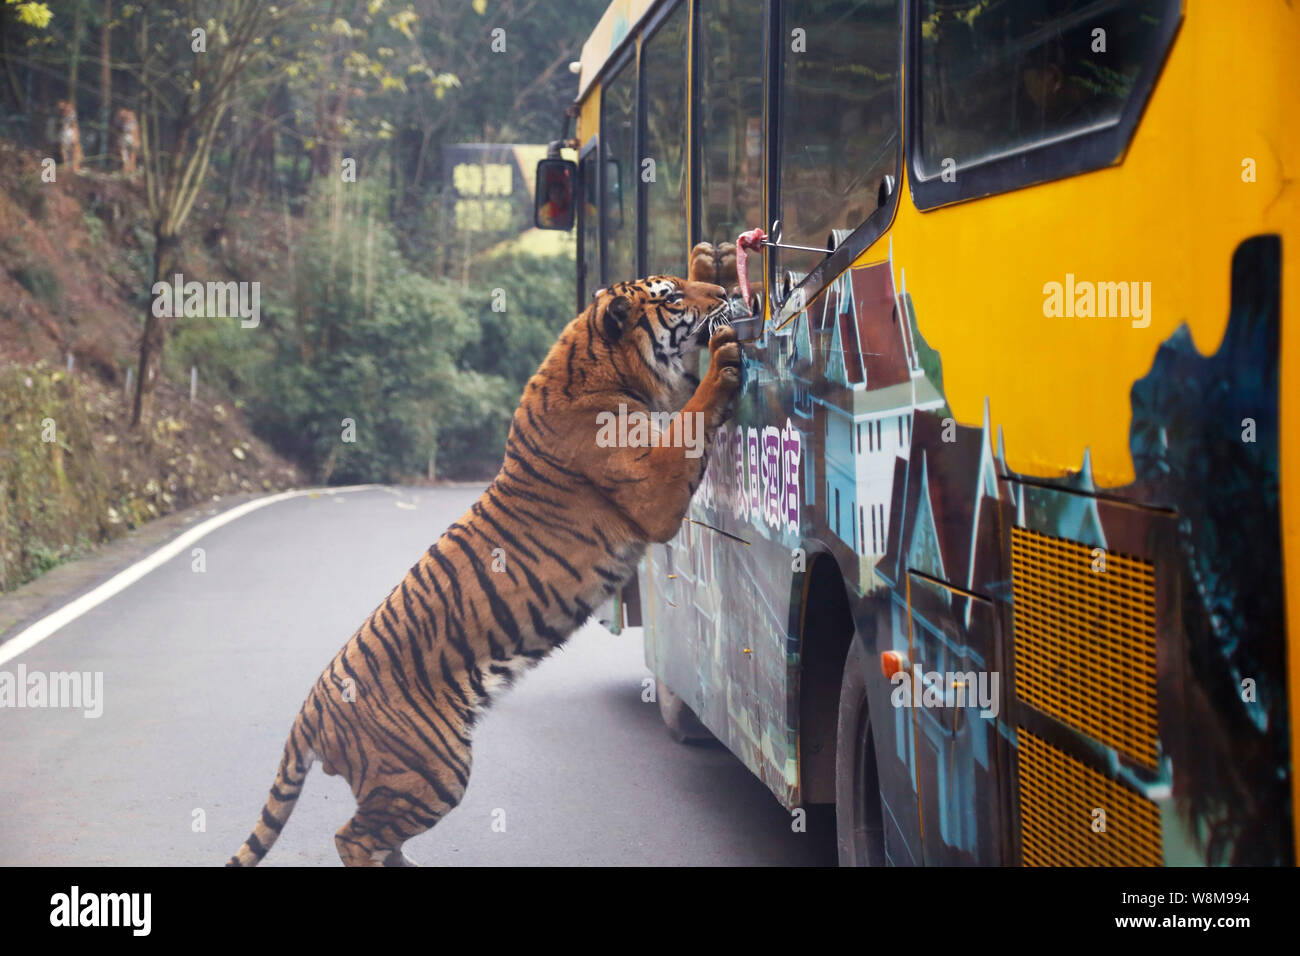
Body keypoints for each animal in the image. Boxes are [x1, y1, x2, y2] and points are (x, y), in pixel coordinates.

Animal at [228, 275, 739, 866]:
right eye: (673, 296)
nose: (723, 290)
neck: (605, 363)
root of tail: (309, 711)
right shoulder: (655, 487)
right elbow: (694, 414)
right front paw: (727, 357)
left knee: (375, 838)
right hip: (435, 770)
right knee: (351, 837)